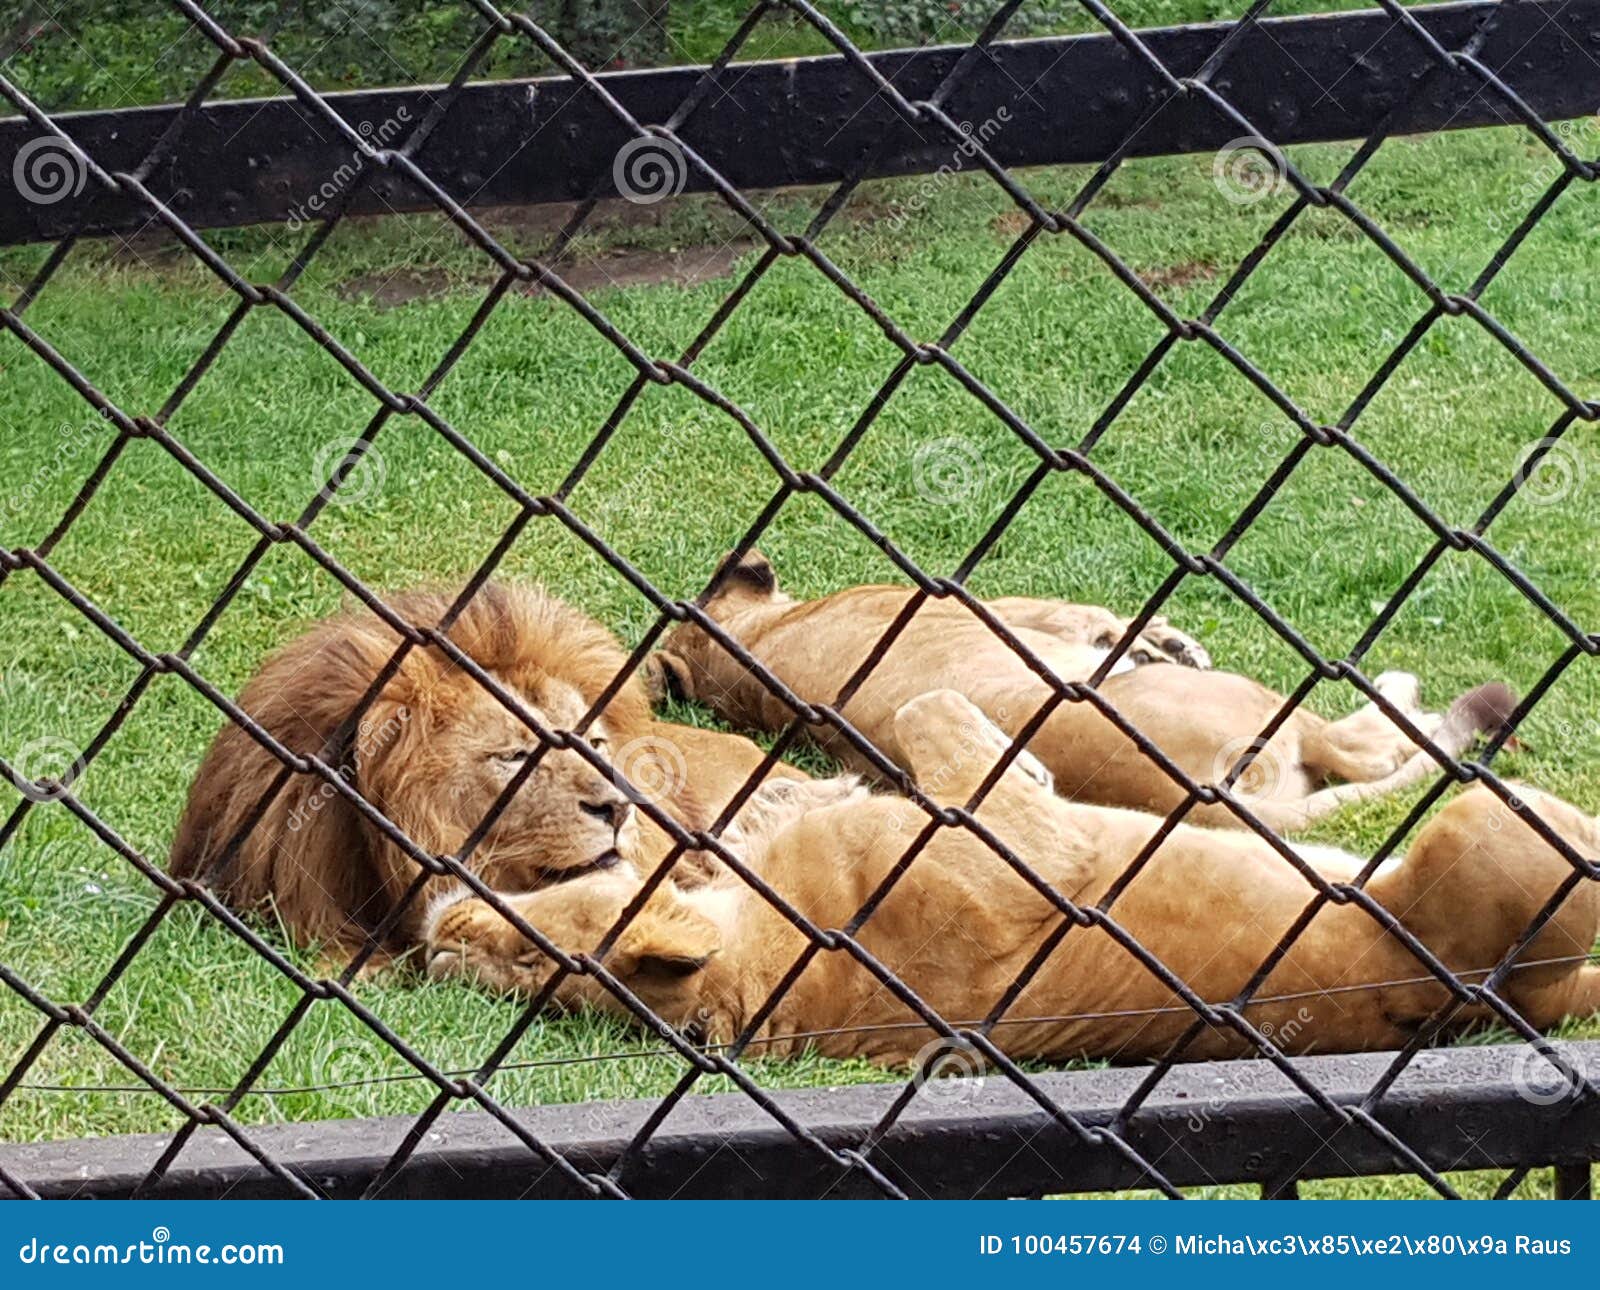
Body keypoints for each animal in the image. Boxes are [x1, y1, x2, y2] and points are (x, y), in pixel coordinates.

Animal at [647, 551, 1514, 833]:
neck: (752, 651)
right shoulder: (1001, 607)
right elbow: (1089, 615)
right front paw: (1165, 634)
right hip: (1265, 705)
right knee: (1362, 747)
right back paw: (1402, 690)